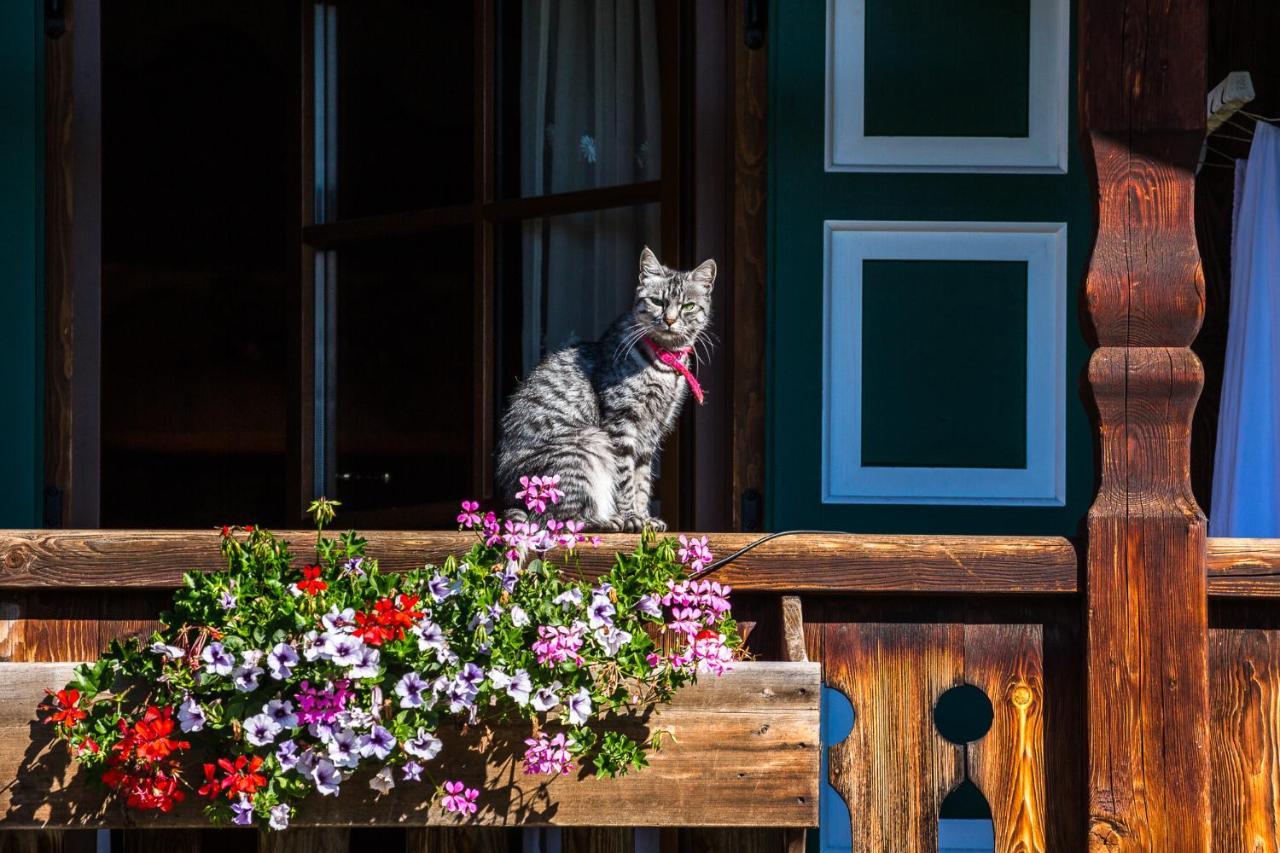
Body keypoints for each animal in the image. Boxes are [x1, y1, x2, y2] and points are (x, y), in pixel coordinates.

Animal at [494, 242, 716, 527]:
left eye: (688, 306)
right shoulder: (621, 423)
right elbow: (625, 479)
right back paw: (608, 521)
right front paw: (631, 517)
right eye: (658, 302)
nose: (669, 319)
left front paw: (645, 518)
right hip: (587, 446)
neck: (666, 362)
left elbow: (642, 481)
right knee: (558, 518)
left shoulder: (651, 434)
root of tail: (513, 501)